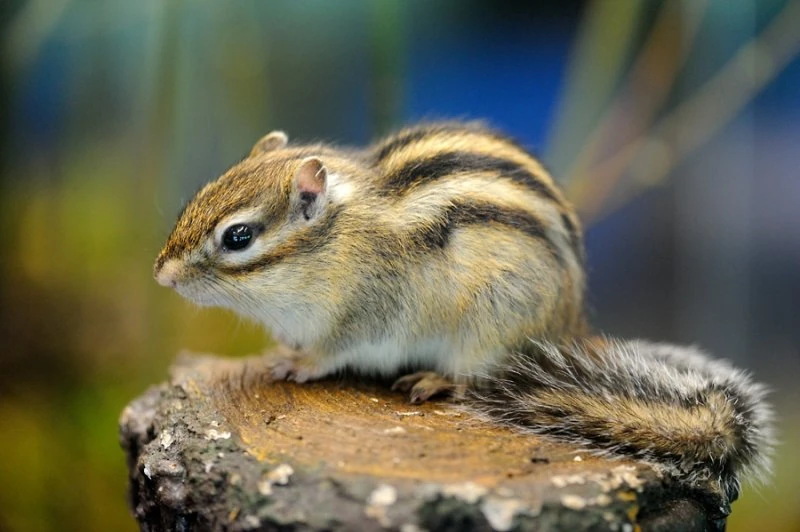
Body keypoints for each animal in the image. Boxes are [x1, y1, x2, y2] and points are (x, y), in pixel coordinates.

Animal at [153, 121, 772, 517]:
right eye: (204, 192)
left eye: (238, 236)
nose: (162, 275)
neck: (335, 241)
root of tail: (570, 328)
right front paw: (282, 348)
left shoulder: (366, 312)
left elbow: (333, 349)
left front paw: (299, 364)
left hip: (488, 331)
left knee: (475, 377)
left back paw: (436, 379)